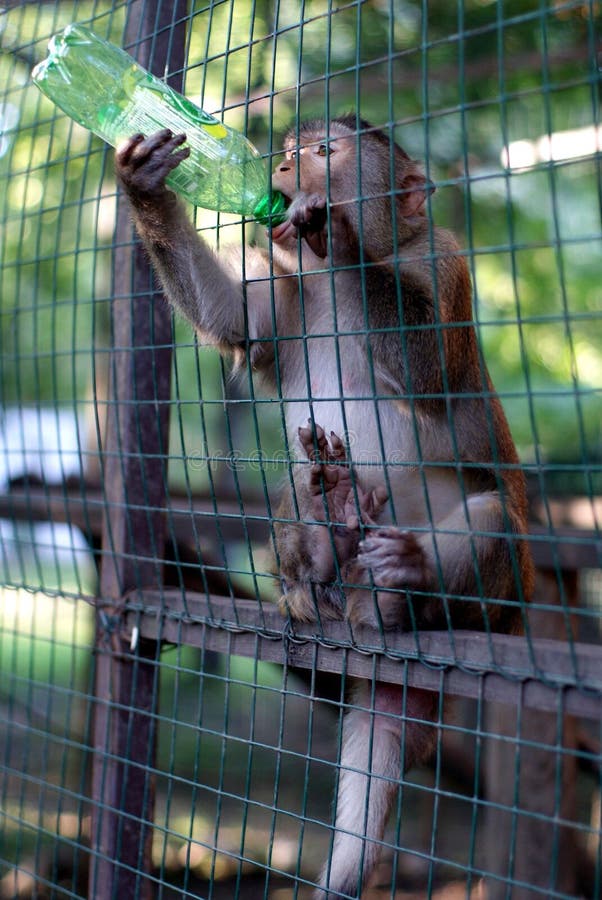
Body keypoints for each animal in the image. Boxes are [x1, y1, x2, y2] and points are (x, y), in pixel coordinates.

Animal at [115, 117, 534, 898]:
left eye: (322, 152)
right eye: (289, 150)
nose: (281, 168)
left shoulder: (445, 259)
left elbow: (428, 365)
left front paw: (332, 233)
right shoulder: (287, 293)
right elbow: (237, 319)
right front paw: (147, 183)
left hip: (501, 603)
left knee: (490, 518)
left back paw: (406, 585)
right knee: (296, 490)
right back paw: (325, 541)